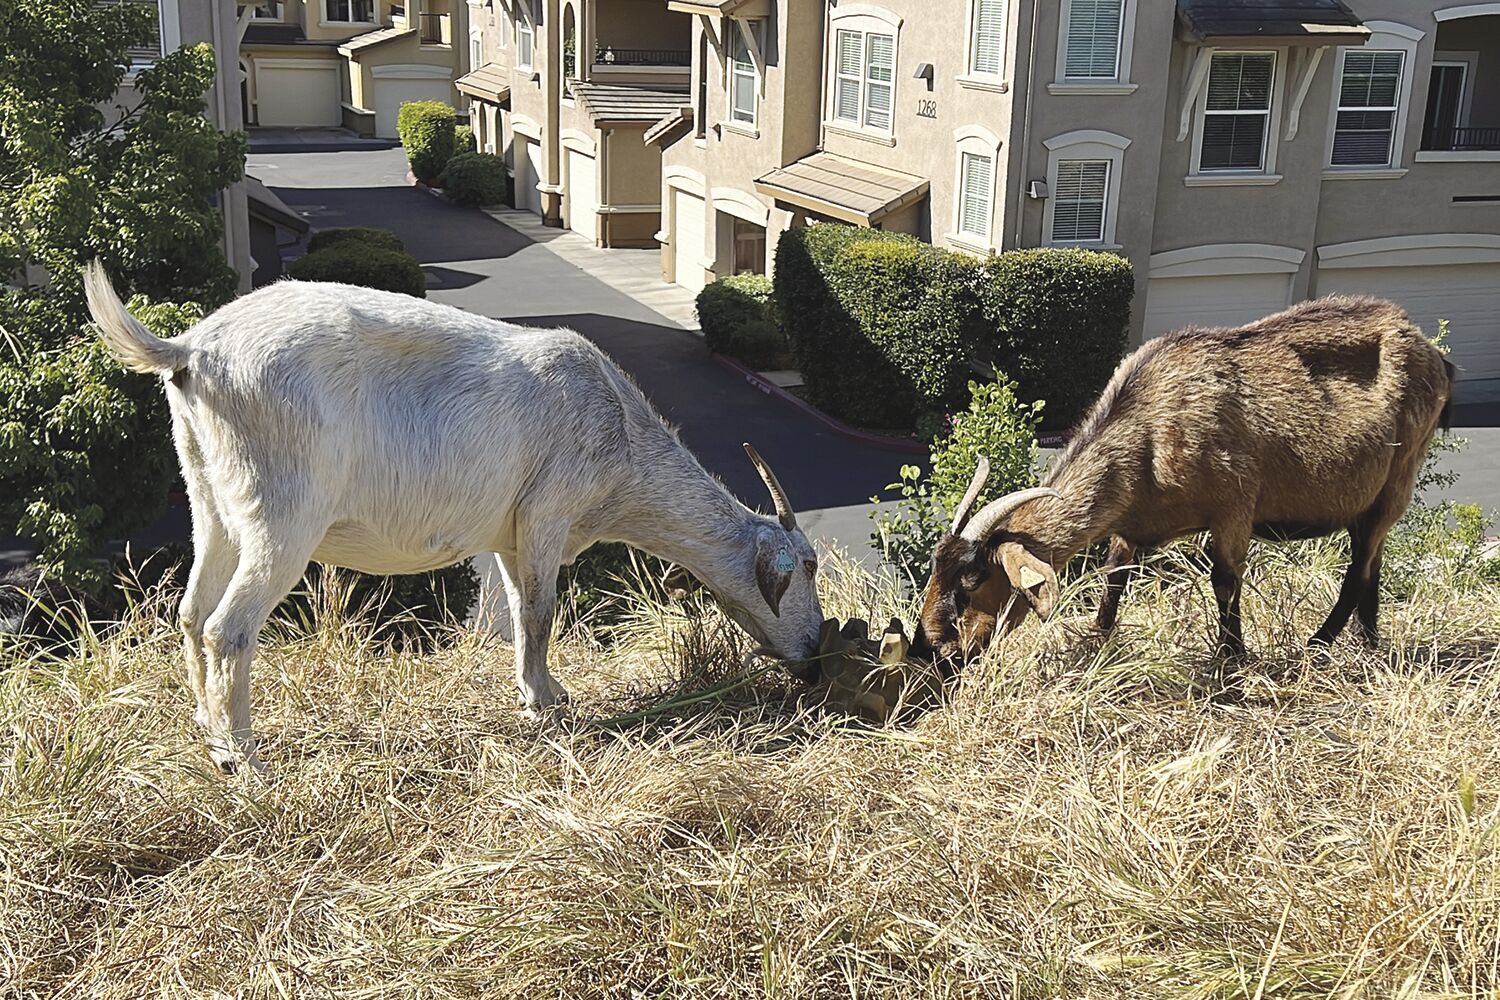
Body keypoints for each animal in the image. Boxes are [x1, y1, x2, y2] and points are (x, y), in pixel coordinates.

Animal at [84, 262, 824, 771]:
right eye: (808, 568)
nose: (814, 659)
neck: (621, 431)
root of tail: (191, 351)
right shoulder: (550, 511)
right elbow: (541, 612)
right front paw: (546, 708)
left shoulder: (510, 531)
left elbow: (518, 609)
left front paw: (541, 691)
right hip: (282, 510)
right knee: (227, 627)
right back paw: (244, 759)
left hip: (210, 496)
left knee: (189, 612)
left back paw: (208, 732)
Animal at [921, 296, 1455, 674]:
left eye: (973, 581)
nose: (938, 646)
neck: (1148, 431)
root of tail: (1436, 357)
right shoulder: (1130, 524)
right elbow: (1115, 576)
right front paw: (1097, 640)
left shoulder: (1235, 505)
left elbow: (1226, 579)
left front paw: (1232, 656)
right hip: (1370, 499)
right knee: (1373, 562)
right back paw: (1369, 641)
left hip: (1400, 475)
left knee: (1359, 566)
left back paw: (1318, 644)